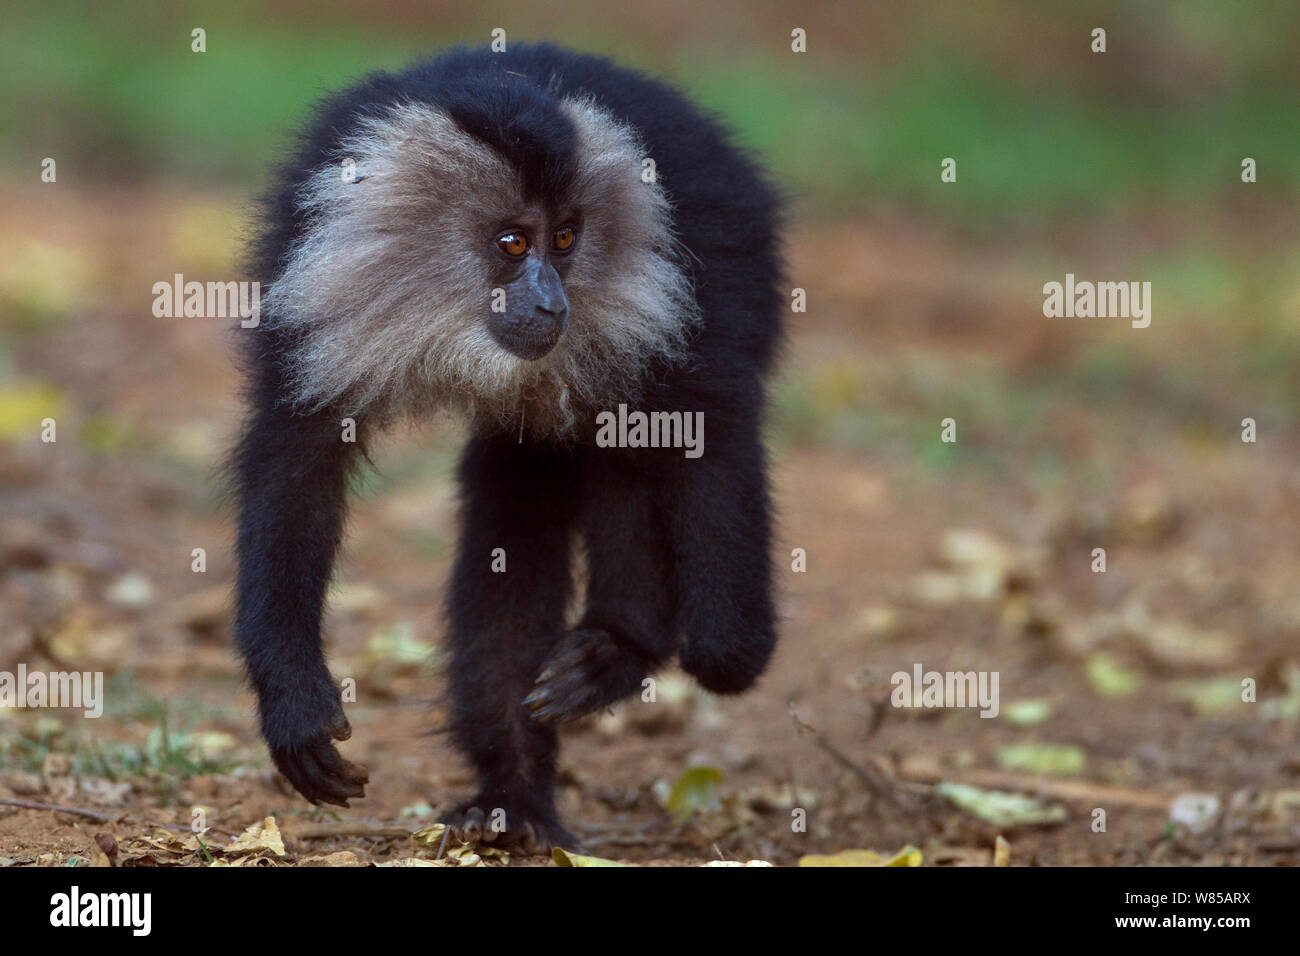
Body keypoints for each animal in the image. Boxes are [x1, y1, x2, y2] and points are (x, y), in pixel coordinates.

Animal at [233, 42, 783, 853]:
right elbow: (297, 457)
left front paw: (683, 646)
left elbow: (704, 432)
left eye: (567, 239)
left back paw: (616, 649)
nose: (553, 302)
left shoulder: (704, 266)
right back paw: (512, 796)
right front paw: (294, 701)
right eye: (512, 242)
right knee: (516, 494)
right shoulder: (313, 265)